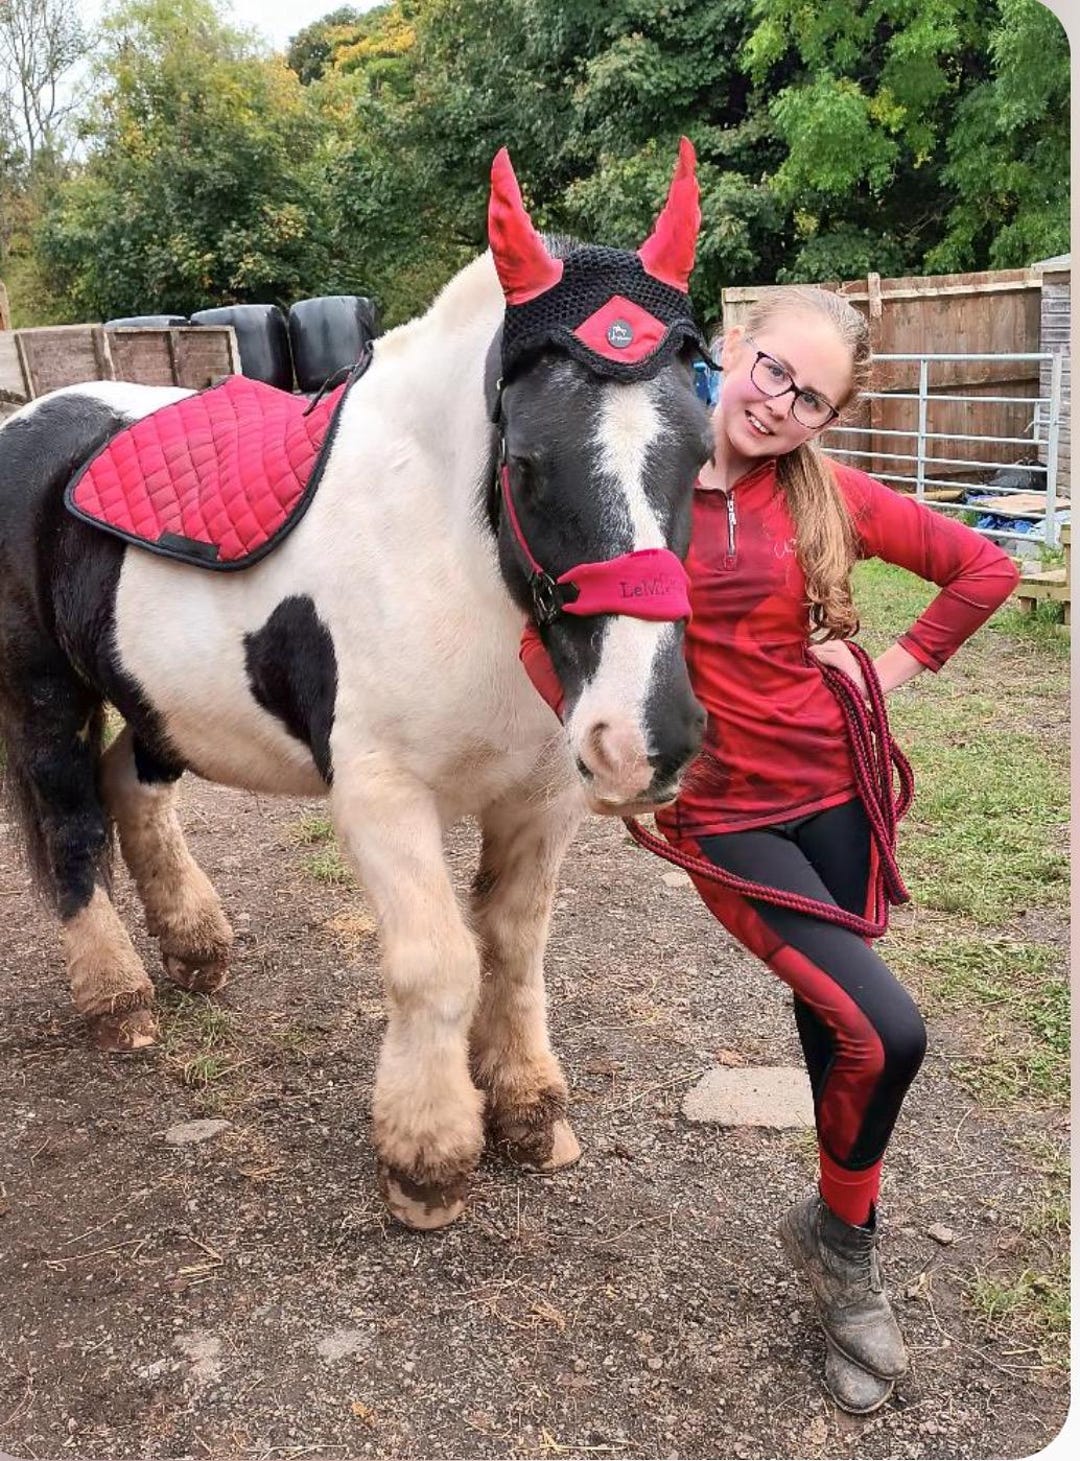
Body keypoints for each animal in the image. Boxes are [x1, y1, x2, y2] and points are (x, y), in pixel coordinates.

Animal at [0, 143, 714, 1229]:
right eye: (526, 461)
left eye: (704, 453)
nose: (647, 743)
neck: (451, 556)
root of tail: (34, 425)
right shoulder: (381, 791)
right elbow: (438, 962)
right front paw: (427, 1158)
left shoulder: (543, 796)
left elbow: (514, 948)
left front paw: (527, 1110)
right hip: (45, 695)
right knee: (73, 822)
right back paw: (119, 998)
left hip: (163, 703)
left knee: (133, 788)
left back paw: (196, 946)